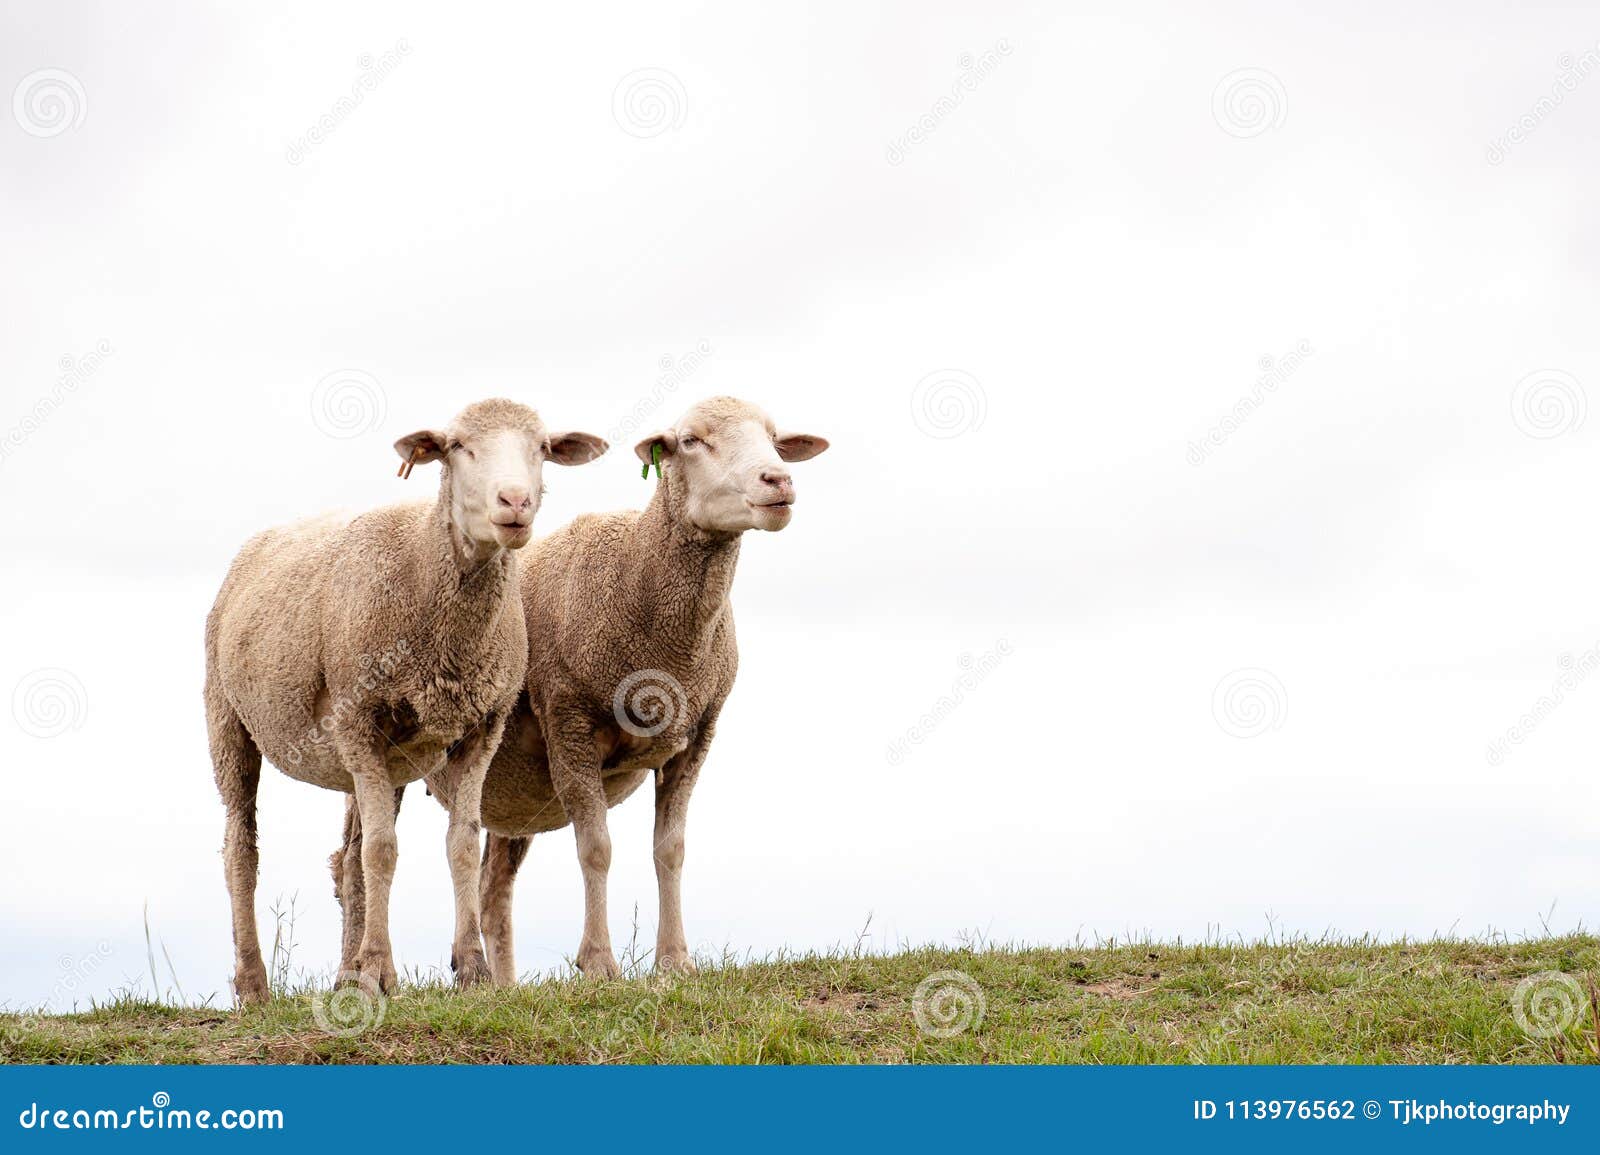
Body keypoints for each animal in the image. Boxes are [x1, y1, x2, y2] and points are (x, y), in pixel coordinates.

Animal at [204, 399, 607, 1003]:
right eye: (458, 446)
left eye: (542, 449)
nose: (515, 502)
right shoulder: (358, 718)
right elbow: (383, 851)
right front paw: (378, 970)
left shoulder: (482, 726)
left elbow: (459, 844)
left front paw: (472, 969)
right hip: (228, 719)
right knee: (241, 850)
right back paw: (254, 984)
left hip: (382, 760)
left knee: (347, 859)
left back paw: (343, 974)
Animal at [333, 396, 828, 979]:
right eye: (690, 440)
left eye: (774, 440)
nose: (778, 479)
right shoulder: (570, 722)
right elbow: (596, 847)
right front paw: (599, 963)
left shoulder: (698, 735)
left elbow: (671, 850)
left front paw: (675, 962)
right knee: (353, 862)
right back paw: (355, 972)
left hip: (511, 788)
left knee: (493, 885)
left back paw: (499, 983)